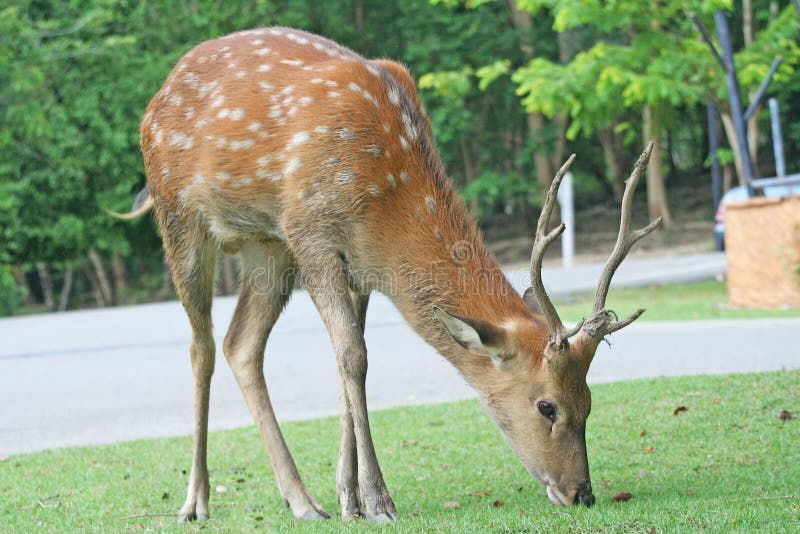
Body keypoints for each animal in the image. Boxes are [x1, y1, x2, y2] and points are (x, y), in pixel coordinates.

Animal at [117, 27, 661, 523]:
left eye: (588, 401)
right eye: (547, 406)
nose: (581, 493)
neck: (385, 199)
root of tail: (157, 96)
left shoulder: (357, 264)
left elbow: (346, 362)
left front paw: (349, 498)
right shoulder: (312, 233)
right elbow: (353, 357)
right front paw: (379, 502)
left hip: (266, 247)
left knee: (241, 344)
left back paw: (302, 501)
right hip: (178, 215)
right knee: (202, 347)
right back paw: (195, 502)